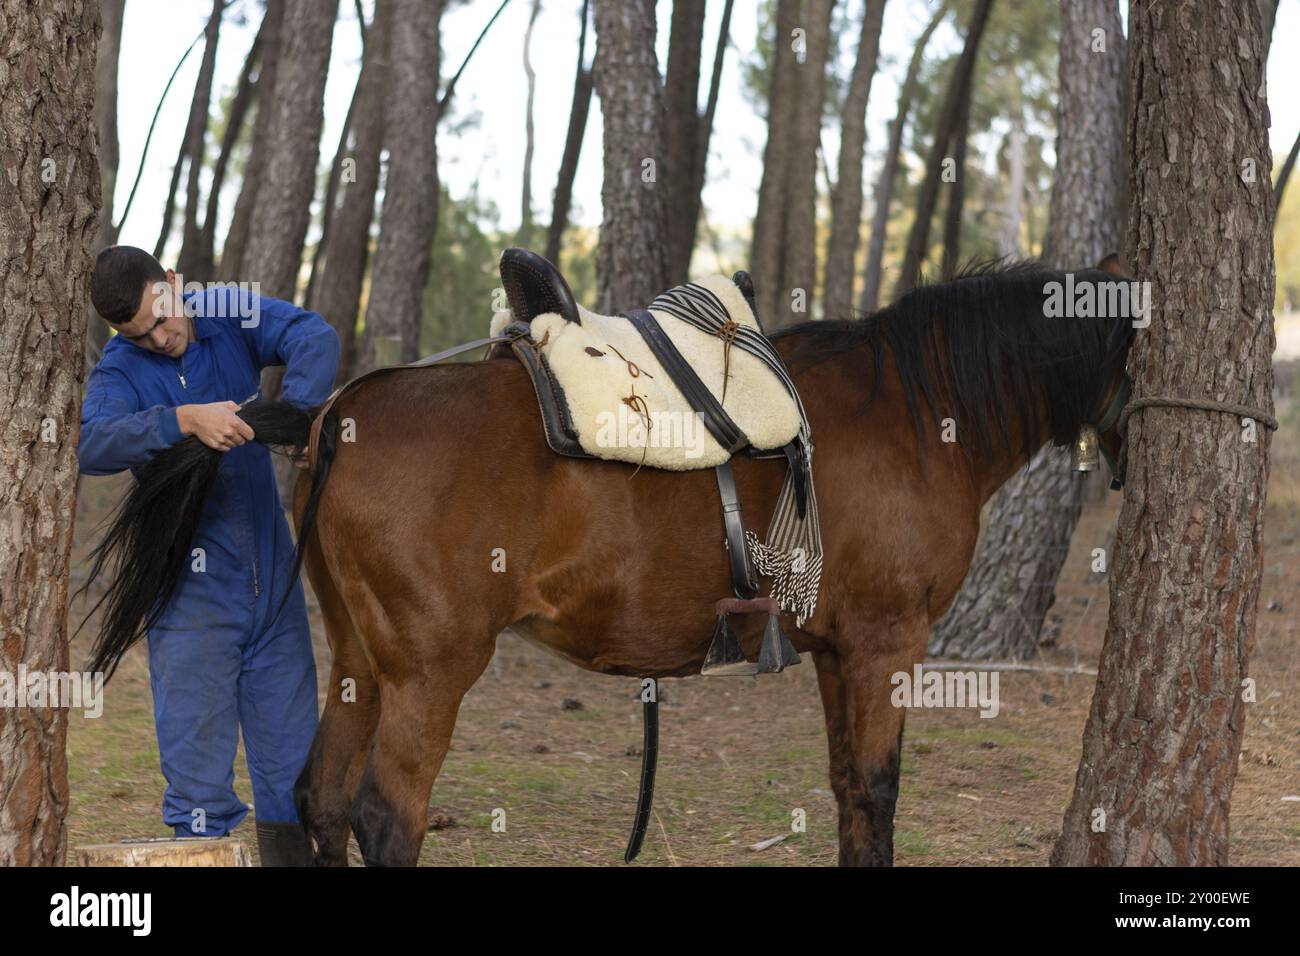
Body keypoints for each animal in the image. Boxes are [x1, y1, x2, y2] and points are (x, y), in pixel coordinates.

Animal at [84, 256, 1135, 866]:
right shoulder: (887, 644)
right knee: (387, 815)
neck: (919, 412)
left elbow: (848, 792)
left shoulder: (843, 652)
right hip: (430, 671)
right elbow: (877, 796)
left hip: (358, 661)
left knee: (324, 800)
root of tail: (343, 410)